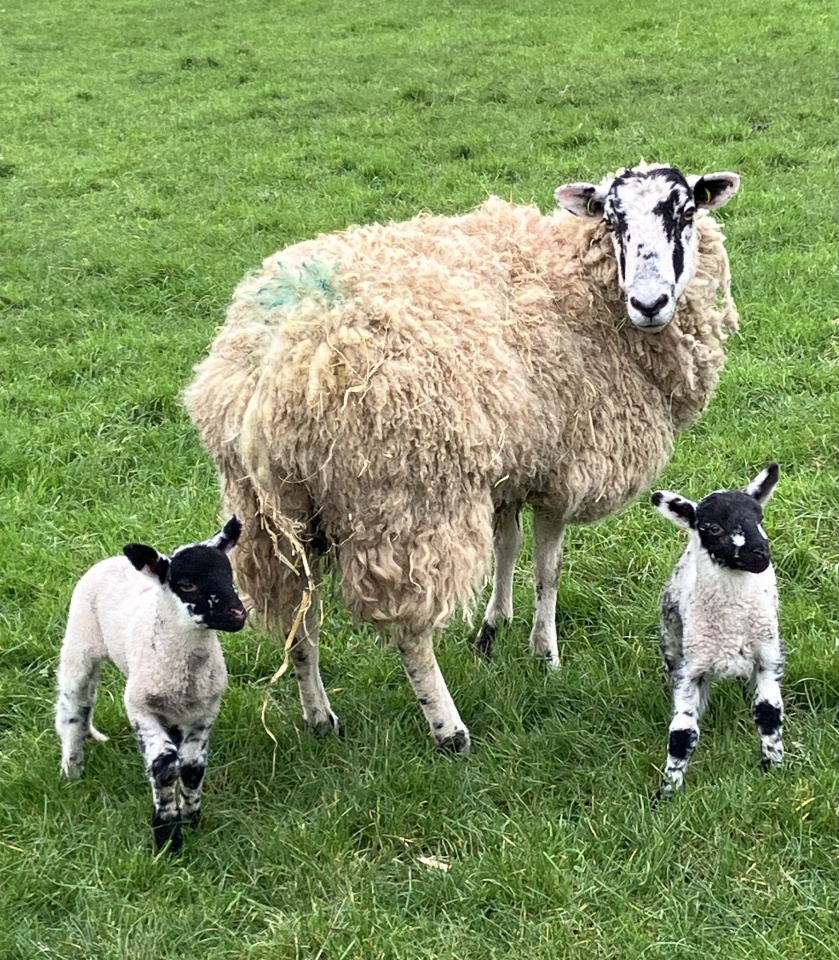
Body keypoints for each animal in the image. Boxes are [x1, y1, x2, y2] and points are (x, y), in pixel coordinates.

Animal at [56, 517, 247, 851]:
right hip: (79, 640)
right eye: (187, 584)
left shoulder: (206, 711)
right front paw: (167, 833)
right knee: (74, 706)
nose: (238, 614)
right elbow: (164, 766)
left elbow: (192, 766)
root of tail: (114, 559)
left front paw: (190, 818)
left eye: (229, 575)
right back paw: (71, 769)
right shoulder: (139, 709)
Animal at [184, 162, 741, 754]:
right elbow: (548, 569)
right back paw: (448, 729)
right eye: (612, 219)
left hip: (270, 515)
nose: (650, 303)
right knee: (408, 630)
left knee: (298, 617)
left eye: (686, 212)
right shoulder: (563, 471)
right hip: (403, 502)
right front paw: (545, 653)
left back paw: (320, 717)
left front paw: (493, 628)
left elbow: (507, 546)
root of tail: (274, 369)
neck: (577, 280)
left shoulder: (514, 462)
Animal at [651, 463, 783, 796]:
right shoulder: (690, 670)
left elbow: (768, 713)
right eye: (712, 528)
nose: (760, 554)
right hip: (672, 637)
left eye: (759, 518)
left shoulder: (768, 658)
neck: (731, 625)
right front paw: (668, 791)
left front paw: (775, 767)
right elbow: (682, 734)